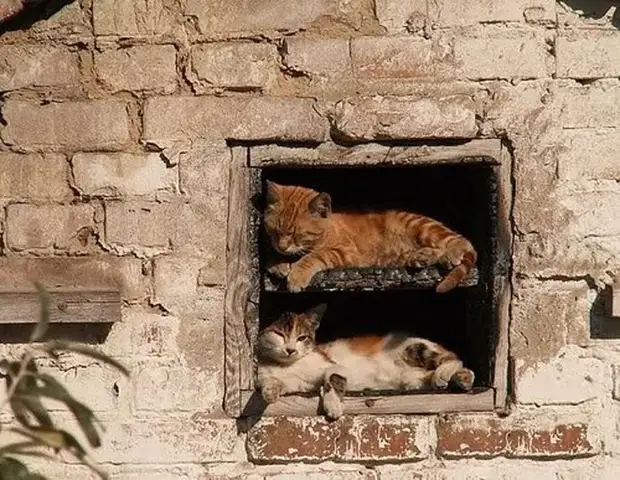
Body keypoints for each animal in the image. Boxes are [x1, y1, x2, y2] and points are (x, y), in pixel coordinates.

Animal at [256, 304, 474, 420]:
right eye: (279, 334)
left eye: (302, 338)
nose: (290, 349)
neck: (288, 365)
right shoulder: (291, 383)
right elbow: (273, 382)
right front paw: (270, 391)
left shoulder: (331, 364)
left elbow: (332, 377)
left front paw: (333, 406)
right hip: (412, 380)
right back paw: (461, 380)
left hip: (414, 347)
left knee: (452, 357)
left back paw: (445, 373)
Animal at [264, 180, 478, 292]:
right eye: (274, 231)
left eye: (296, 234)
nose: (282, 246)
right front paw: (278, 263)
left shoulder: (346, 252)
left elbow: (314, 256)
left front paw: (297, 275)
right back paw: (421, 256)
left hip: (422, 226)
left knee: (460, 241)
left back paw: (450, 254)